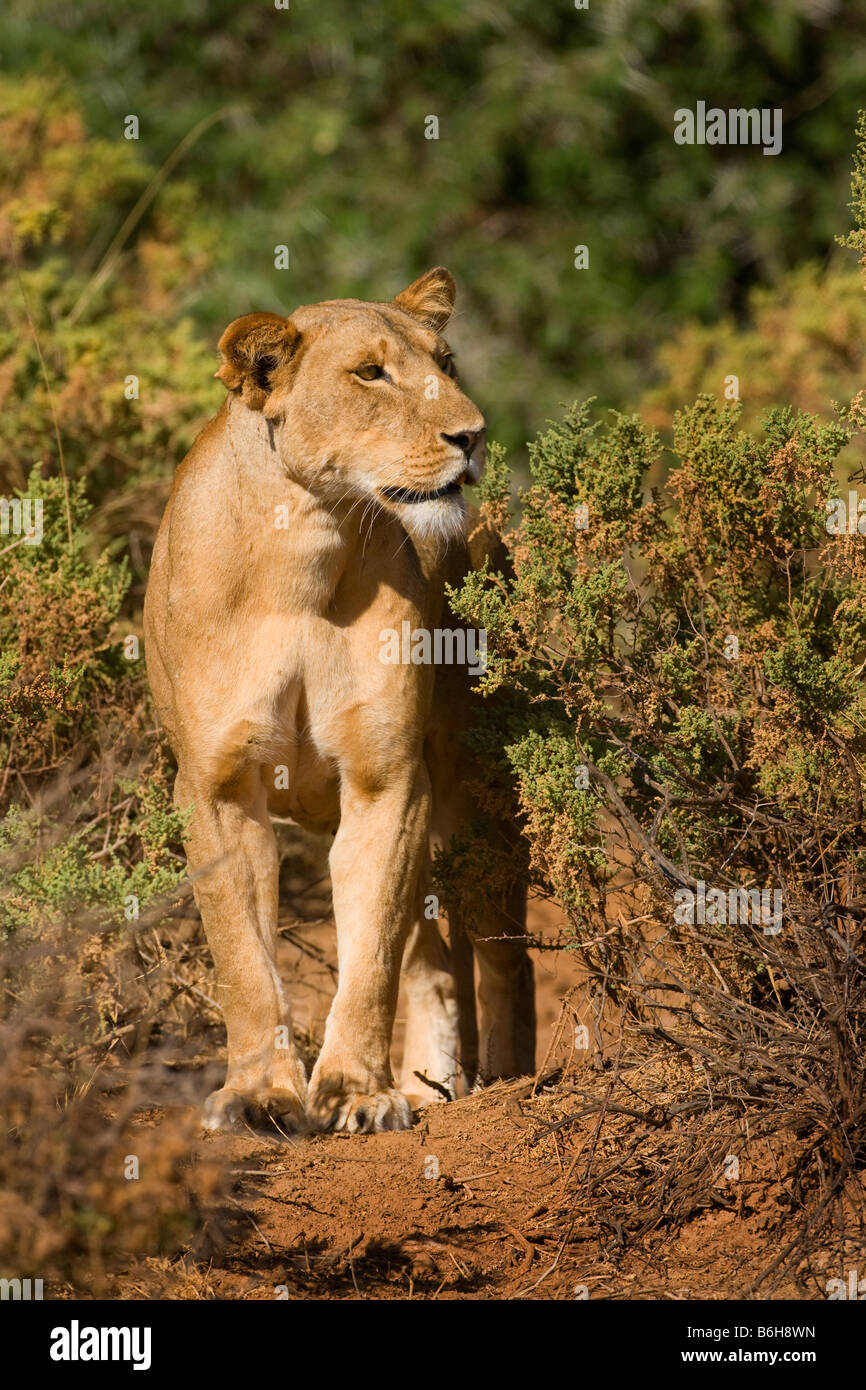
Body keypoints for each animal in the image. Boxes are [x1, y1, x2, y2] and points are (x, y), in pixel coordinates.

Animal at [143, 267, 535, 1134]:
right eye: (370, 373)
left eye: (446, 363)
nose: (474, 435)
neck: (302, 551)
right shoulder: (218, 788)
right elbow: (244, 961)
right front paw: (260, 1095)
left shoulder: (388, 779)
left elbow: (370, 957)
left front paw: (357, 1091)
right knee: (436, 965)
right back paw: (433, 1082)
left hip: (486, 800)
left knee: (503, 956)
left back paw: (508, 1089)